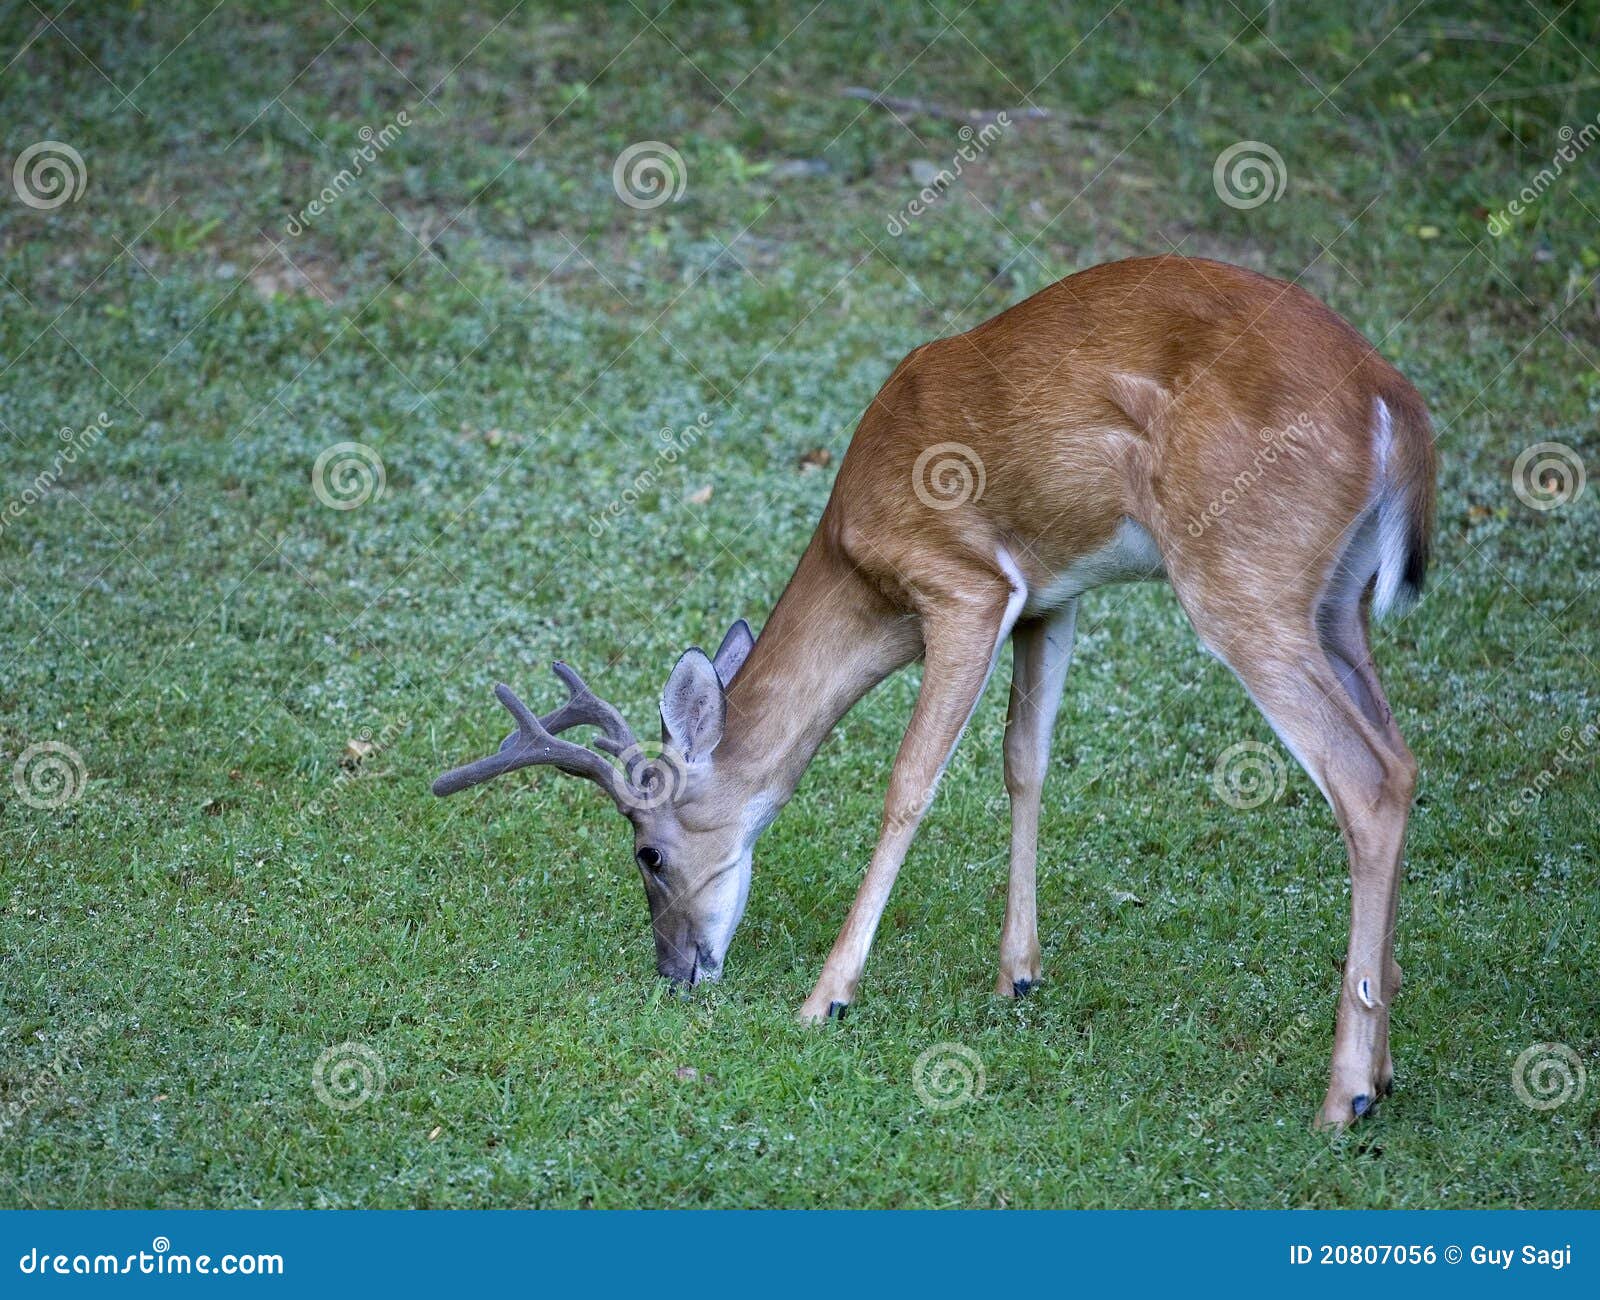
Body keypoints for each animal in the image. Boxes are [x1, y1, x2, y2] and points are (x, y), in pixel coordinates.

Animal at [434, 255, 1435, 1129]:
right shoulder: (1052, 597)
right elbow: (1024, 761)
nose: (675, 970)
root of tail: (1397, 407)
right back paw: (1383, 1063)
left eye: (646, 853)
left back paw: (1342, 1096)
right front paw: (1017, 974)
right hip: (1339, 601)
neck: (863, 566)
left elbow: (910, 780)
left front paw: (827, 997)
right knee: (1402, 755)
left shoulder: (964, 586)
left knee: (1368, 776)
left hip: (1241, 573)